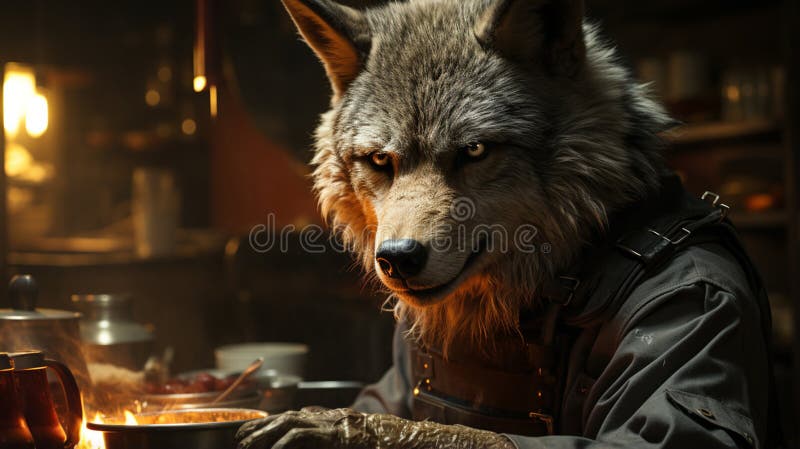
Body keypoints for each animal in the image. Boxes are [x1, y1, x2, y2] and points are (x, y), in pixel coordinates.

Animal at [236, 0, 778, 448]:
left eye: (474, 151)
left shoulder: (695, 299)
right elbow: (385, 400)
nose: (398, 258)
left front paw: (349, 428)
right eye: (380, 161)